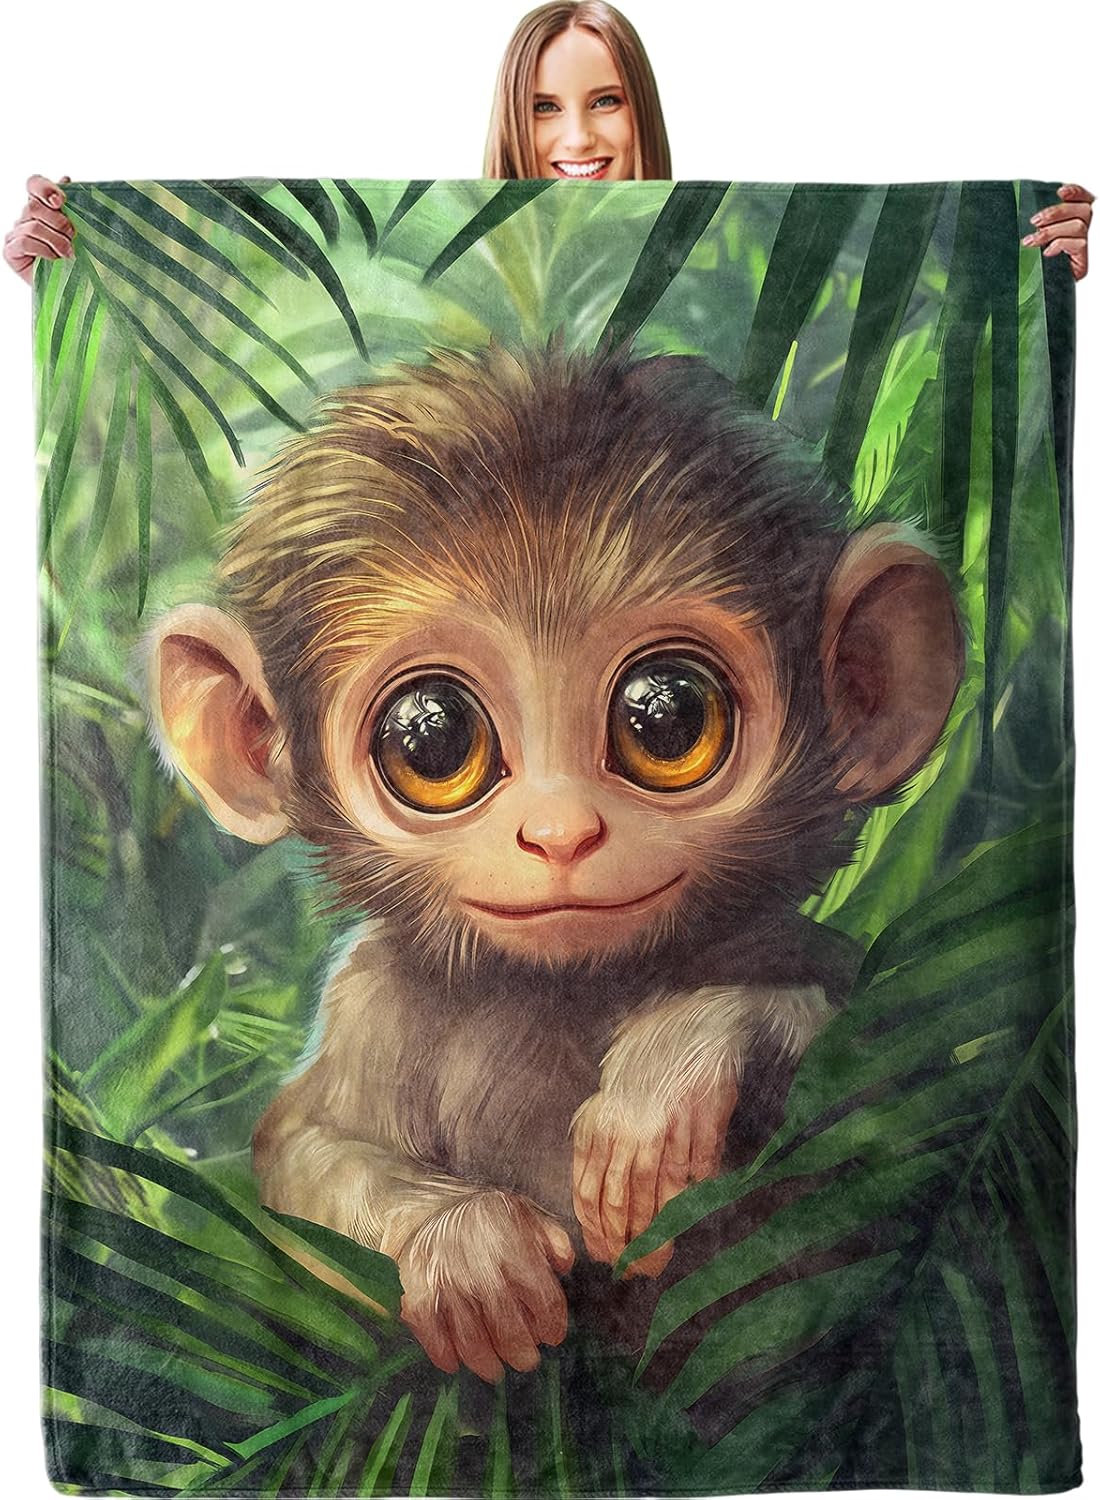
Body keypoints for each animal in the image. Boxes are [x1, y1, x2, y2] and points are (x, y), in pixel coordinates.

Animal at [145, 341, 965, 1386]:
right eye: (432, 739)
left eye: (668, 716)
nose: (561, 833)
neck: (570, 987)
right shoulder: (370, 992)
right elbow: (299, 1151)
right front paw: (463, 1246)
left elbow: (896, 1073)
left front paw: (673, 1077)